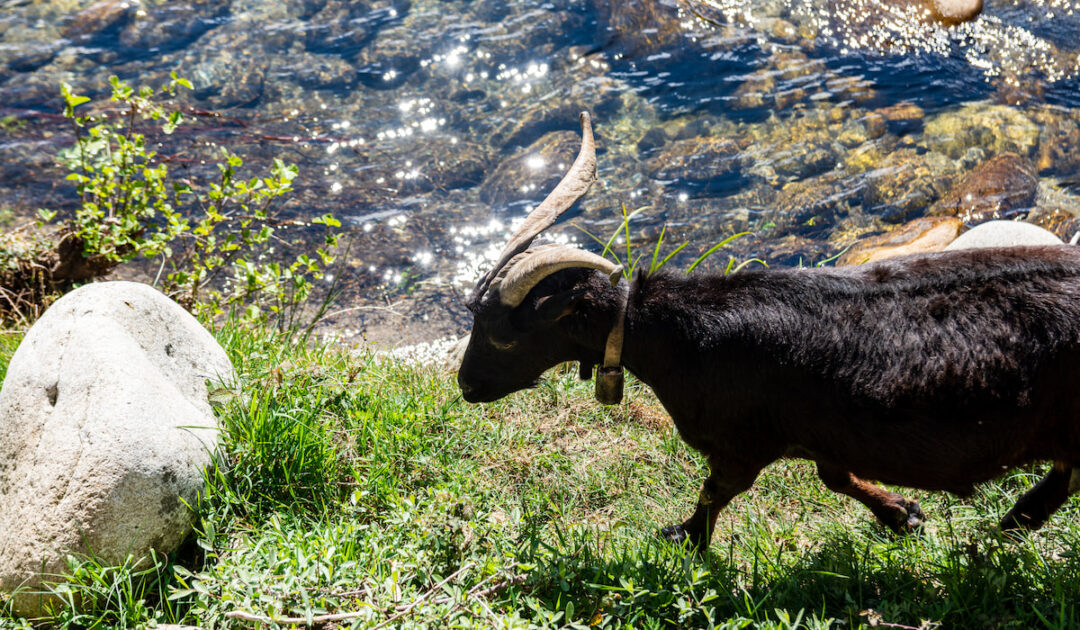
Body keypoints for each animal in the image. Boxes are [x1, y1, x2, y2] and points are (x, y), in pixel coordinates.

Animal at [458, 112, 1080, 550]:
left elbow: (718, 491)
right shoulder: (824, 430)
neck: (676, 335)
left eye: (504, 334)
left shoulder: (741, 440)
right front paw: (903, 515)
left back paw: (1002, 531)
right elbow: (835, 476)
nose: (466, 386)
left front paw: (683, 540)